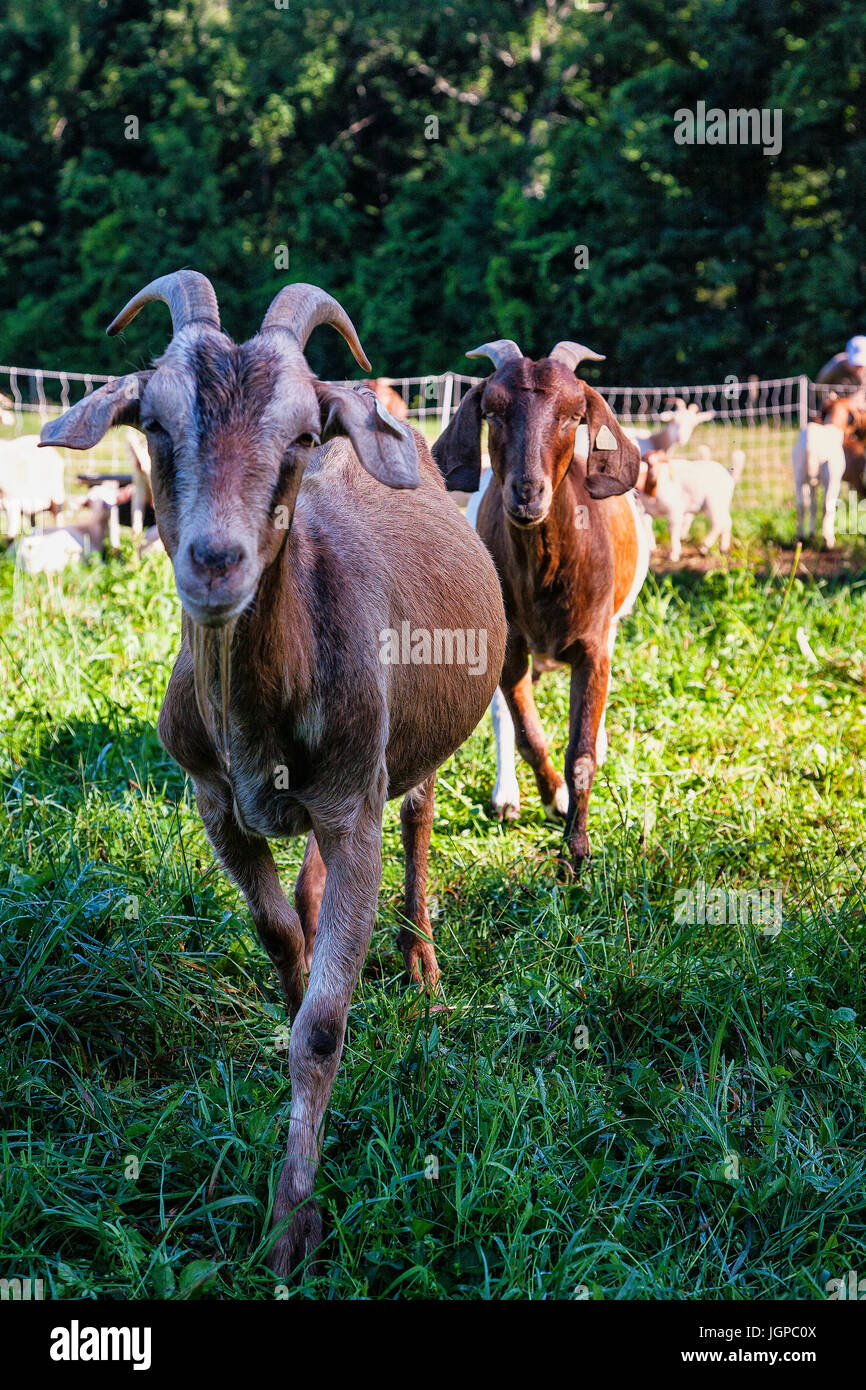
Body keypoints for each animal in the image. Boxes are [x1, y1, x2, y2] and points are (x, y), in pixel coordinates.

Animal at [42, 265, 508, 1273]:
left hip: (410, 754)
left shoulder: (355, 804)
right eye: (154, 422)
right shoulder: (216, 801)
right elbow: (279, 937)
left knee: (419, 821)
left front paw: (293, 1224)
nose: (217, 563)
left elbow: (324, 1027)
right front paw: (293, 991)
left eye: (300, 436)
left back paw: (423, 969)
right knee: (308, 884)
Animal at [433, 333, 644, 867]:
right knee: (502, 717)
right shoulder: (509, 648)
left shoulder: (593, 645)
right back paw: (507, 797)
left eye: (573, 414)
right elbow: (528, 735)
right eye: (492, 411)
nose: (527, 493)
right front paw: (554, 800)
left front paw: (577, 848)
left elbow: (582, 752)